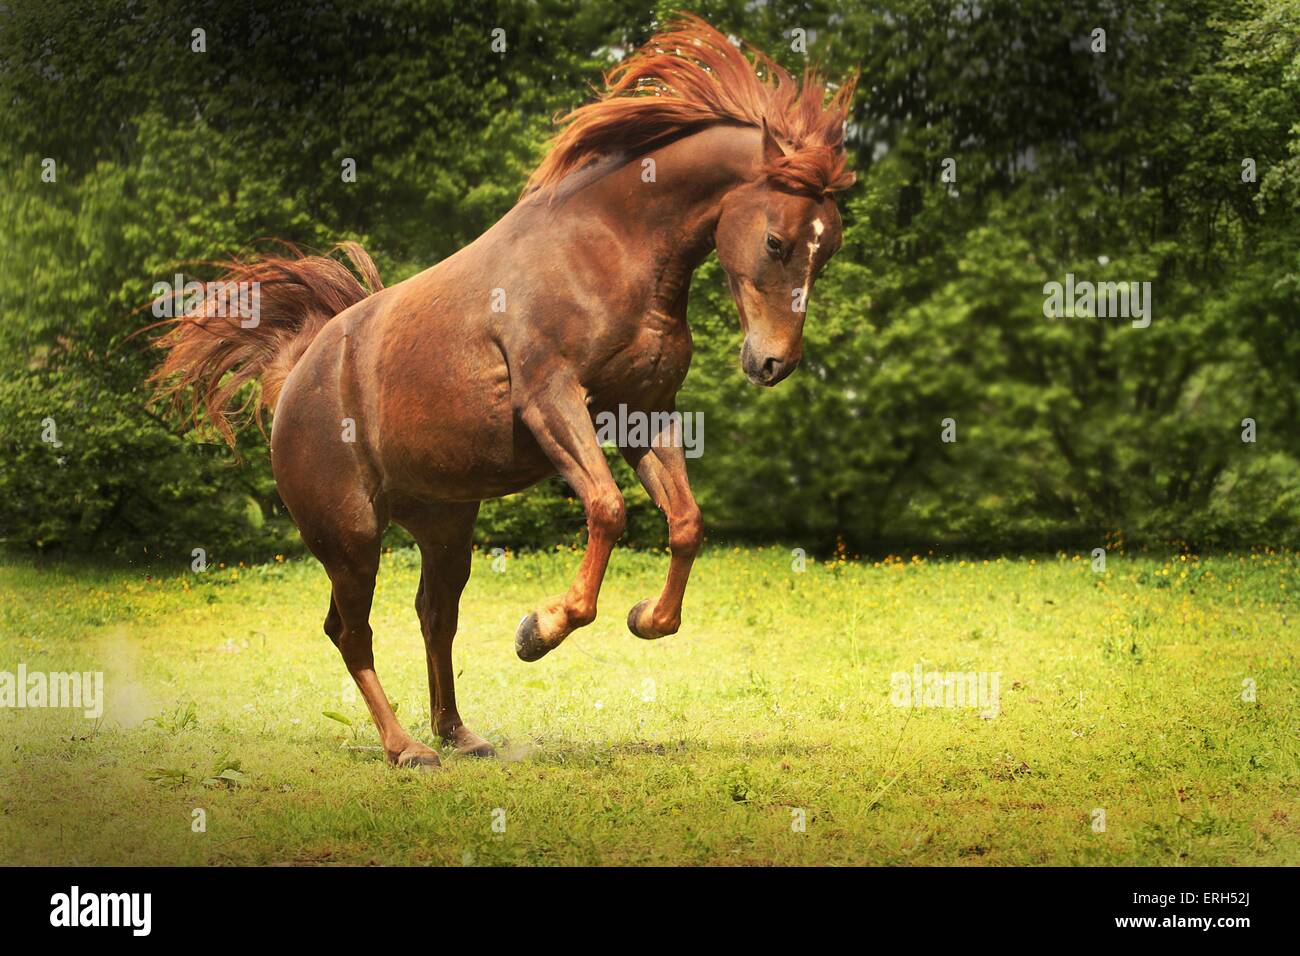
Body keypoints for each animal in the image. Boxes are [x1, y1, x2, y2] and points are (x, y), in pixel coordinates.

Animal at [152, 16, 856, 768]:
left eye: (829, 248)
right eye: (777, 242)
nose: (773, 363)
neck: (607, 250)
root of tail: (296, 373)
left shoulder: (643, 413)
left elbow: (687, 522)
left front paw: (646, 618)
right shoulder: (551, 401)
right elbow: (607, 508)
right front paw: (539, 630)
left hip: (444, 526)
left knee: (434, 615)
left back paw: (457, 733)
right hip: (350, 536)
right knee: (350, 630)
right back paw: (407, 748)